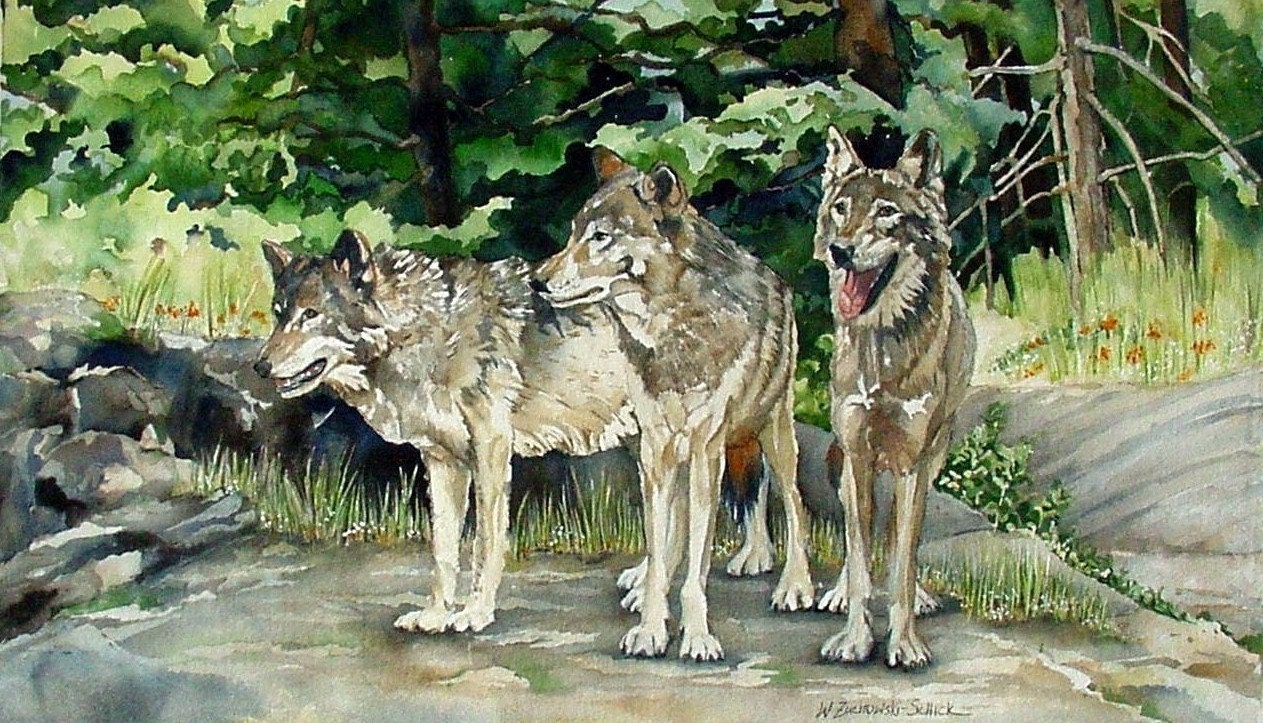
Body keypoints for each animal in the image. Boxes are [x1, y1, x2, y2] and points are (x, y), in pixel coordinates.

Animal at [536, 150, 815, 661]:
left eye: (600, 237)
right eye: (572, 233)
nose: (538, 281)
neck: (671, 333)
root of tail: (776, 278)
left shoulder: (707, 449)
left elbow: (698, 563)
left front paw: (697, 635)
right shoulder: (658, 449)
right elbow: (665, 543)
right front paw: (651, 626)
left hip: (772, 431)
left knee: (789, 497)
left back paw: (789, 580)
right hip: (657, 447)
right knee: (677, 531)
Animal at [812, 127, 976, 670]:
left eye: (886, 212)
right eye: (841, 208)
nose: (840, 250)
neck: (881, 352)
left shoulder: (911, 464)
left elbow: (901, 560)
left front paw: (904, 644)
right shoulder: (859, 458)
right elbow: (861, 561)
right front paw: (853, 640)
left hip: (932, 455)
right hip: (846, 466)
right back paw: (837, 594)